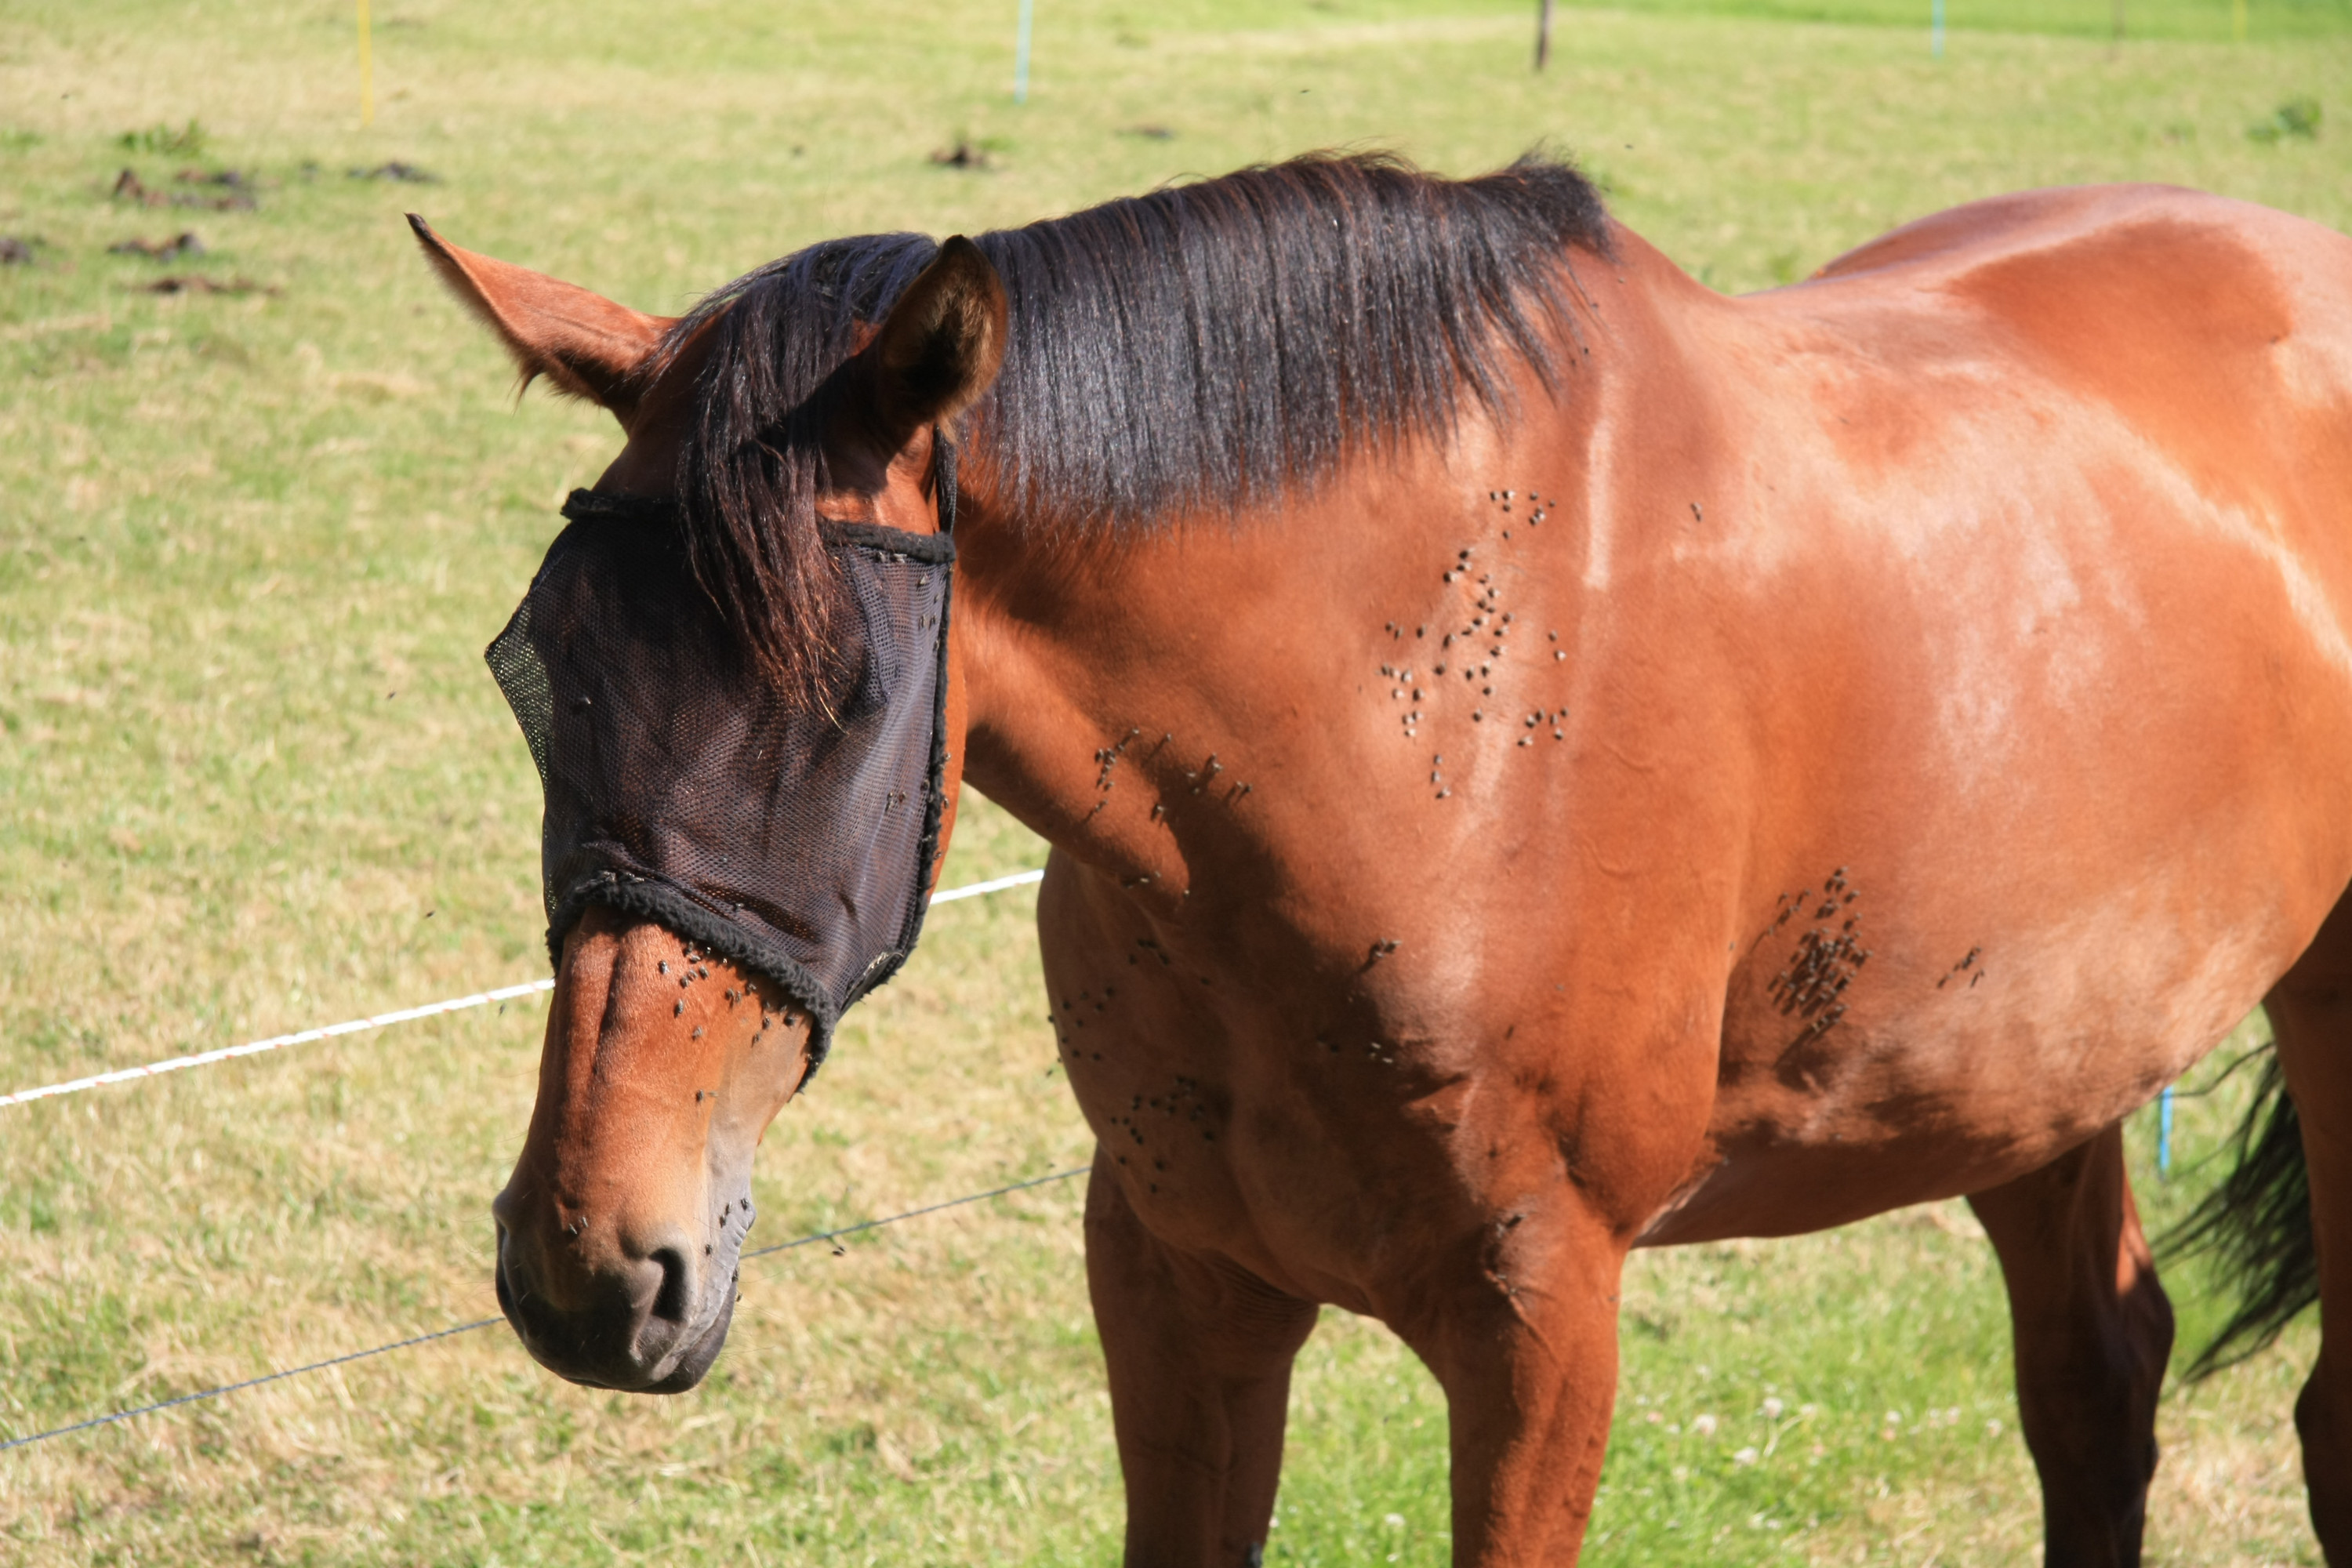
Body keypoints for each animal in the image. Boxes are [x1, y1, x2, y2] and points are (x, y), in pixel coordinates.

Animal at [409, 151, 2352, 1565]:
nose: (592, 1263)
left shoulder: (1543, 1318)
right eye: (539, 663)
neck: (1404, 746)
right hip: (2034, 1071)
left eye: (844, 699)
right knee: (2097, 1389)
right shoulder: (1177, 1277)